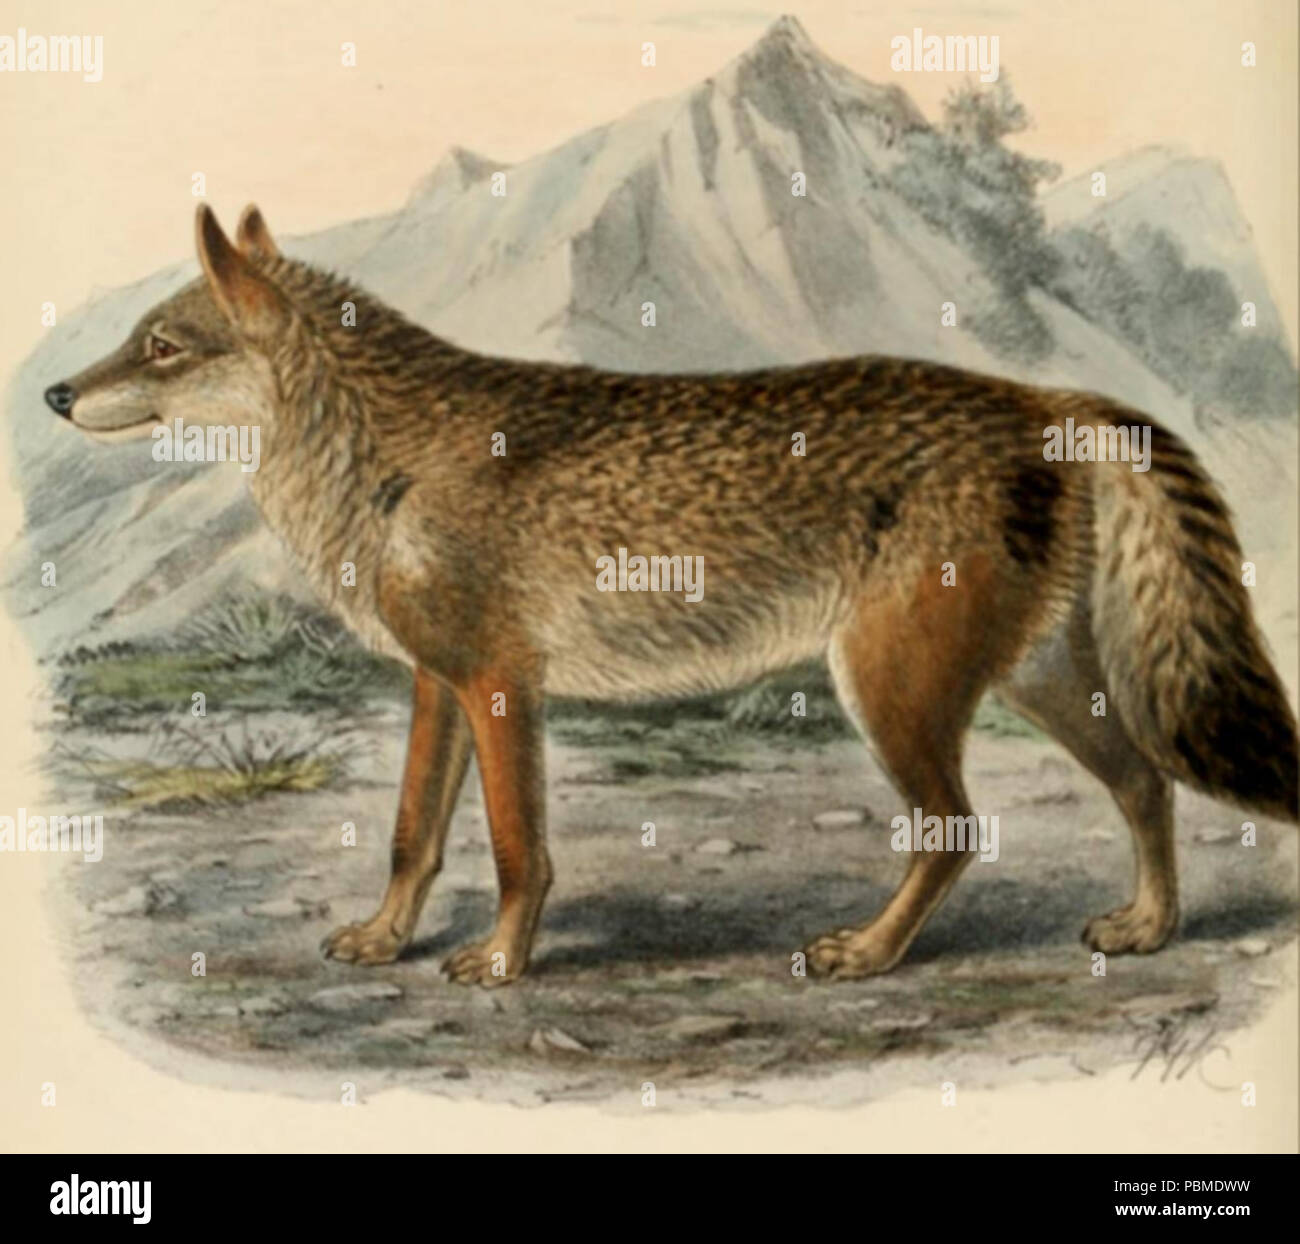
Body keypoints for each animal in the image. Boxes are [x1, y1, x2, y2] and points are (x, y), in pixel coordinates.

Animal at [45, 204, 1299, 986]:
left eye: (159, 345)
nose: (54, 392)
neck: (383, 457)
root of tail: (1047, 399)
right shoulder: (436, 684)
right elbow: (411, 835)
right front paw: (384, 936)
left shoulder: (499, 686)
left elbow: (517, 849)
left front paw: (500, 963)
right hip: (1034, 685)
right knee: (1144, 783)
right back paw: (1149, 926)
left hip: (893, 691)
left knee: (958, 827)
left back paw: (869, 954)